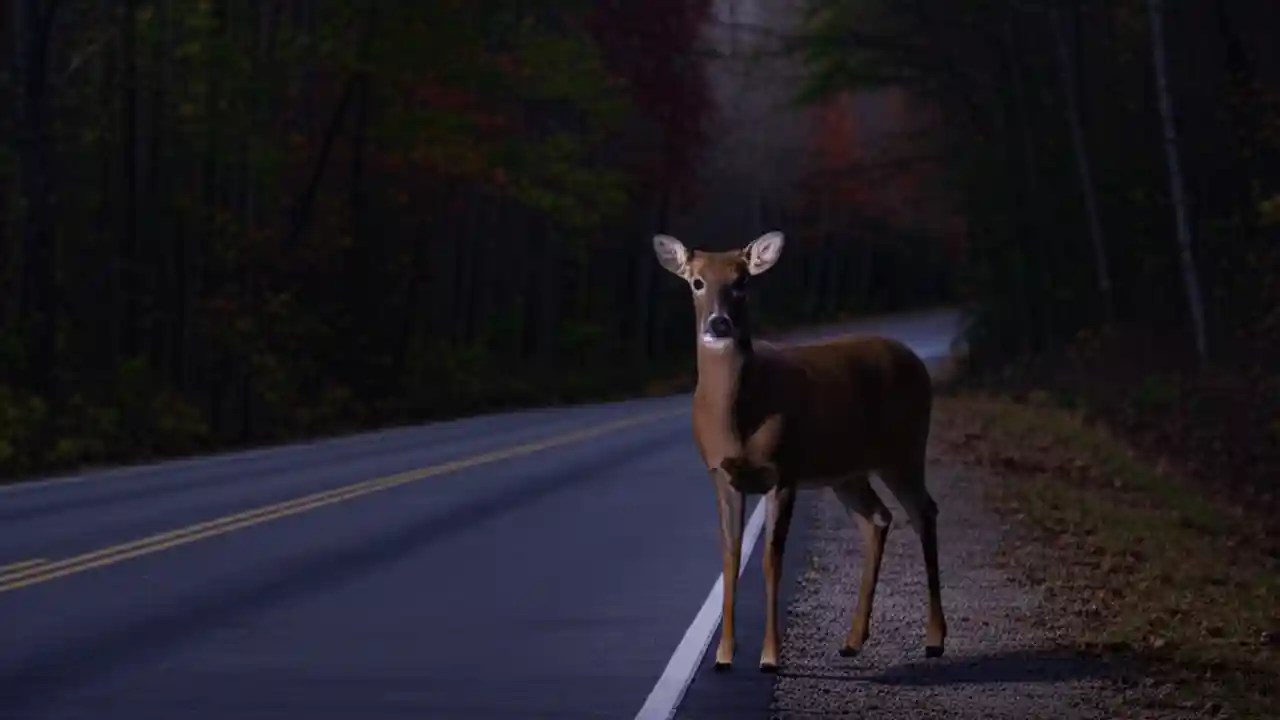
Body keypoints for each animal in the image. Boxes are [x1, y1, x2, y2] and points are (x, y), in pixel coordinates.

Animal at [653, 230, 946, 672]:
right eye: (697, 282)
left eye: (742, 281)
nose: (719, 323)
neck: (739, 419)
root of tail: (914, 359)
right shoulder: (722, 474)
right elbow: (730, 556)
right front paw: (723, 655)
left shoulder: (784, 471)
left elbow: (771, 560)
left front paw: (770, 657)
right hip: (847, 469)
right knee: (878, 518)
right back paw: (852, 641)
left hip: (905, 445)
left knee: (924, 510)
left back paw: (934, 640)